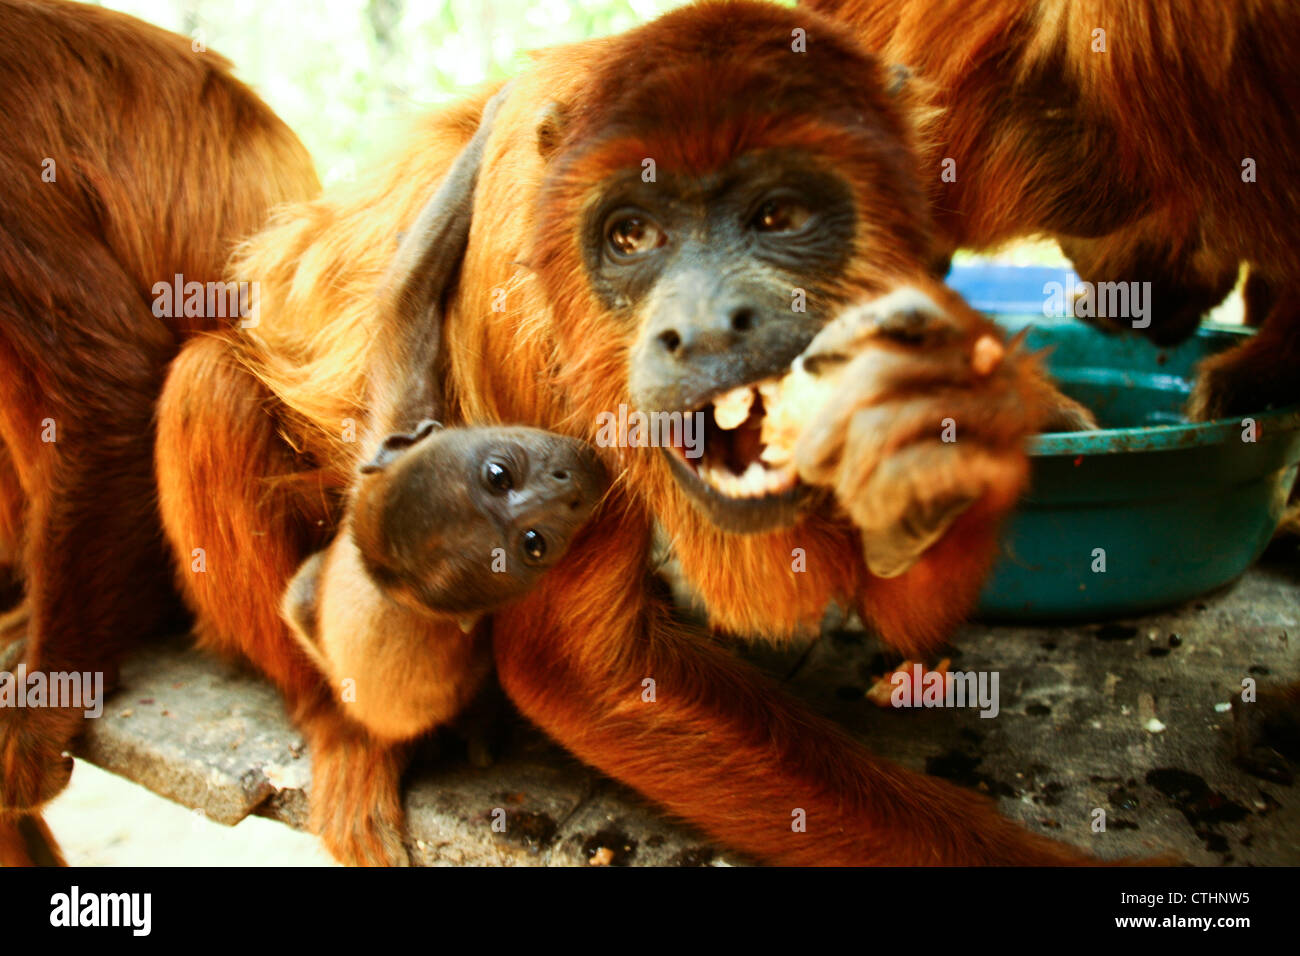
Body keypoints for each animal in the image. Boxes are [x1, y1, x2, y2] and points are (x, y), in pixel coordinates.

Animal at [156, 0, 1103, 865]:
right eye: (631, 235)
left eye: (779, 217)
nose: (708, 328)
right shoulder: (508, 247)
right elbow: (582, 670)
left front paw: (965, 421)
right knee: (208, 389)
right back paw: (347, 733)